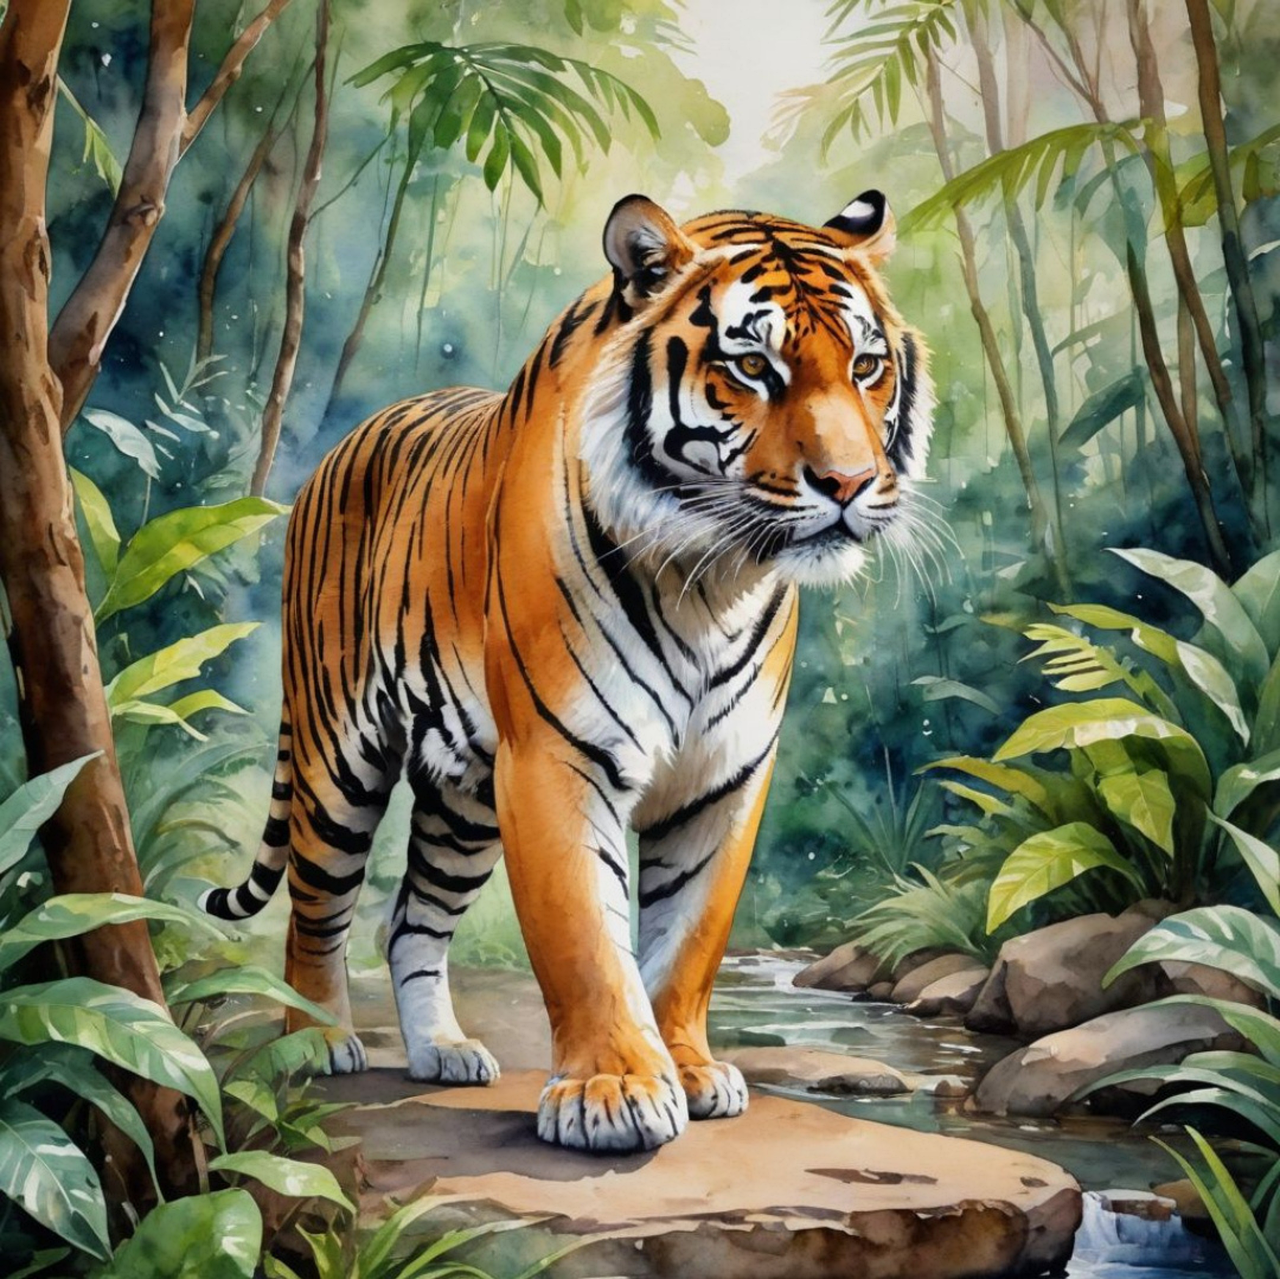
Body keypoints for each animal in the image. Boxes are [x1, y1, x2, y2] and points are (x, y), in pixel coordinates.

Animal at [201, 190, 934, 1153]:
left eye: (866, 366)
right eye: (752, 366)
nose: (849, 483)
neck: (712, 580)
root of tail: (337, 451)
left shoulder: (724, 777)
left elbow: (688, 938)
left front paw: (688, 1069)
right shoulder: (557, 756)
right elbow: (587, 936)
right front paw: (612, 1091)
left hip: (464, 800)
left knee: (410, 921)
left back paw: (442, 1051)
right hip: (337, 756)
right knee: (316, 910)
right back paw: (318, 1042)